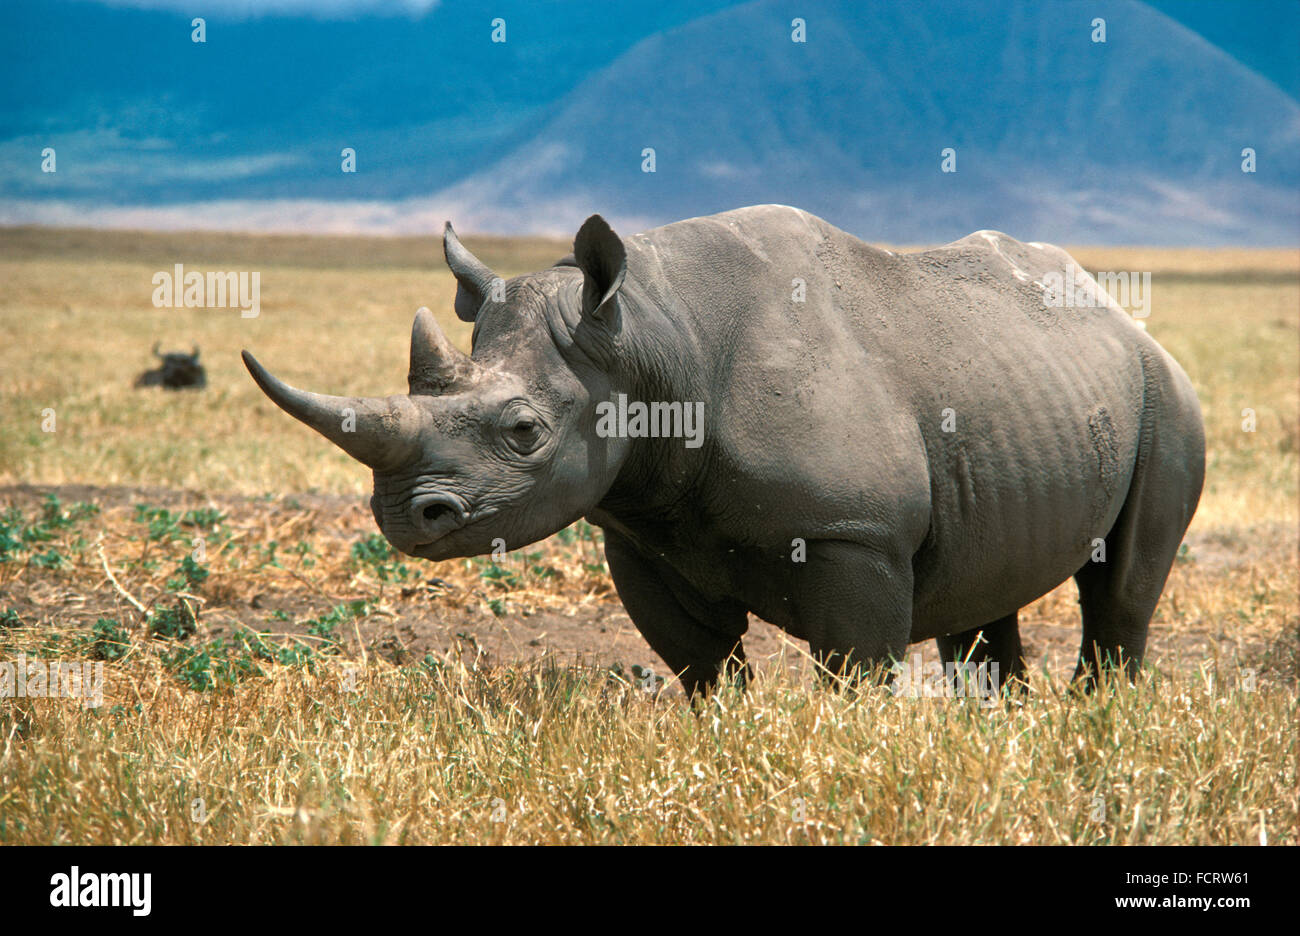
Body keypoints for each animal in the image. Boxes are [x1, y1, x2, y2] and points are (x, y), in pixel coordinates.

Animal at [243, 206, 1205, 696]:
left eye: (523, 432)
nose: (407, 519)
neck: (650, 337)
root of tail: (1114, 313)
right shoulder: (639, 530)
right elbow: (702, 663)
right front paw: (727, 744)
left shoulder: (855, 533)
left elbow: (855, 667)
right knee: (984, 587)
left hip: (1167, 394)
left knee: (1122, 587)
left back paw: (1099, 717)